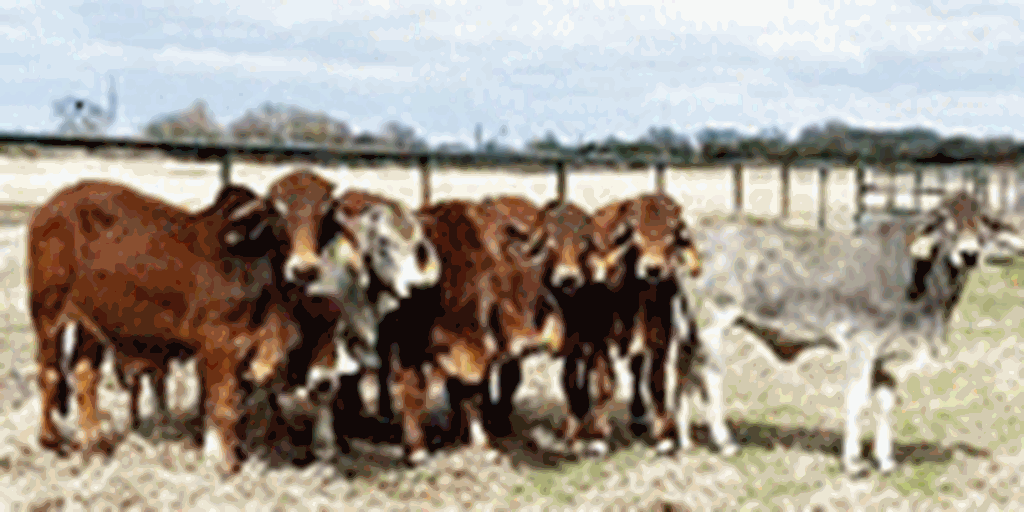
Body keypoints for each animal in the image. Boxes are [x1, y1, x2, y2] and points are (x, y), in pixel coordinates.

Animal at [28, 180, 368, 476]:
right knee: (49, 373)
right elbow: (223, 405)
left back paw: (94, 442)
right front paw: (224, 462)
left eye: (325, 212)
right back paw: (50, 439)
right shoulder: (221, 344)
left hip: (91, 325)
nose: (304, 268)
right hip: (47, 311)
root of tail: (53, 204)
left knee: (85, 375)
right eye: (279, 211)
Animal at [675, 190, 1024, 476]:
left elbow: (885, 402)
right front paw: (853, 461)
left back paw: (685, 440)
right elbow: (856, 398)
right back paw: (724, 441)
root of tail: (694, 233)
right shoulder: (862, 343)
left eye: (983, 224)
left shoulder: (885, 354)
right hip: (712, 322)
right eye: (945, 223)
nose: (969, 254)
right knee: (709, 377)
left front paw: (885, 460)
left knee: (685, 374)